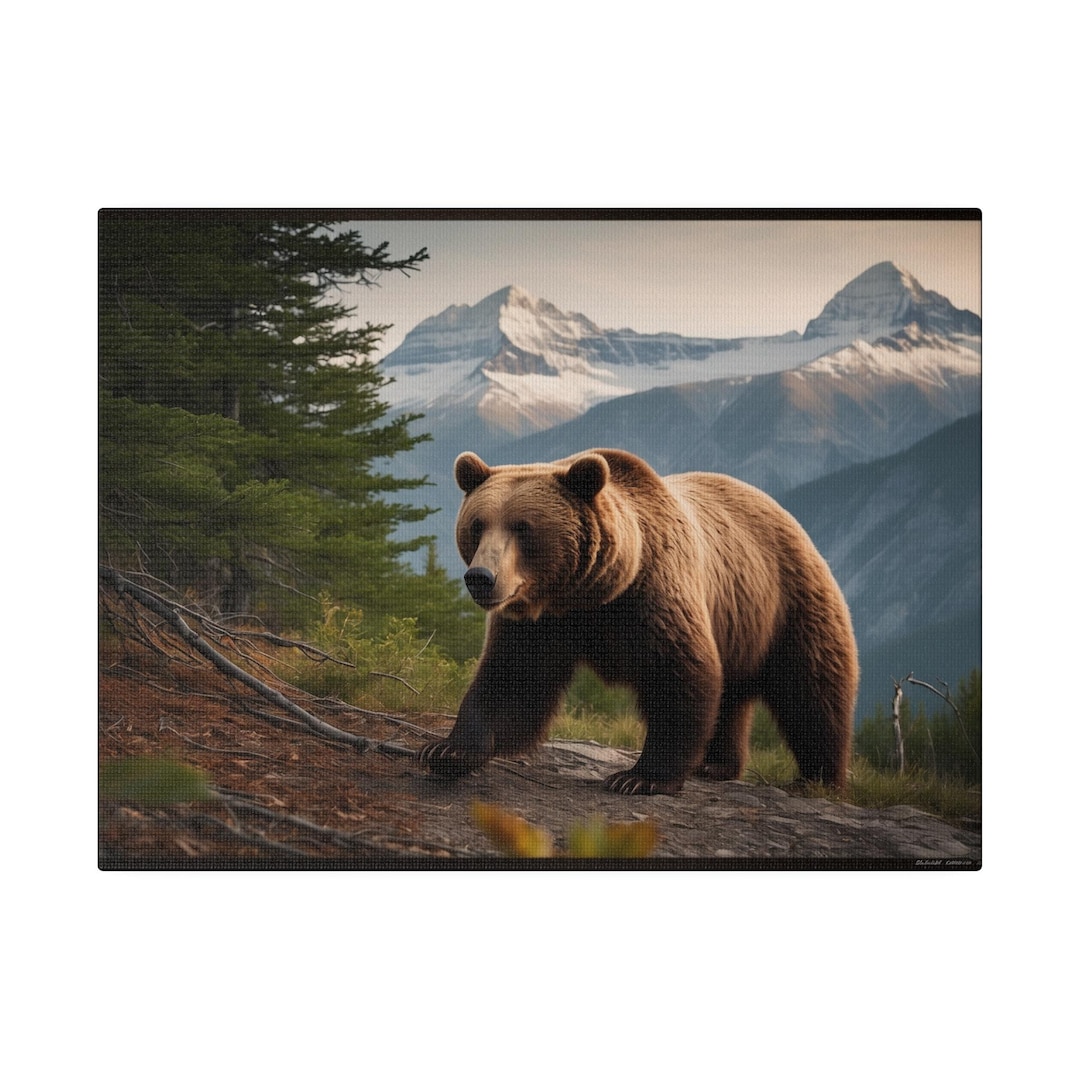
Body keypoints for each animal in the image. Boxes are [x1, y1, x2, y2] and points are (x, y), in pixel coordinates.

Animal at [419, 448, 858, 795]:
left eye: (523, 527)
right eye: (477, 525)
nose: (481, 577)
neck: (590, 594)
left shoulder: (652, 597)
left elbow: (679, 675)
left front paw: (639, 777)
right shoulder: (542, 621)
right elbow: (513, 679)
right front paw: (448, 749)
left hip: (788, 604)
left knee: (812, 690)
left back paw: (817, 780)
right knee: (732, 695)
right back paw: (715, 764)